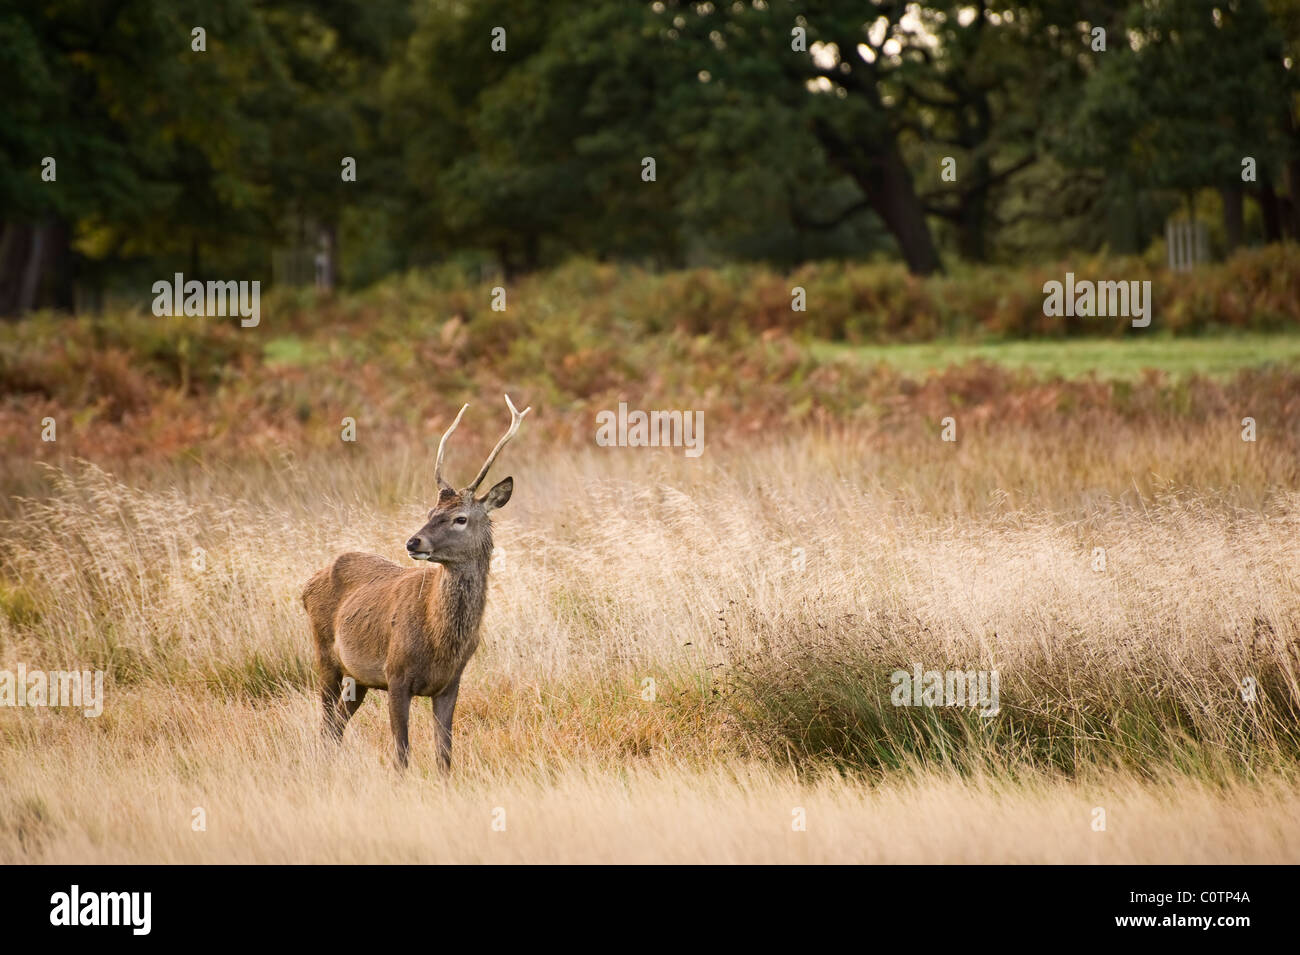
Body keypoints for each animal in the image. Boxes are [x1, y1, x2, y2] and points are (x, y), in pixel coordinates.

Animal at [302, 395, 529, 771]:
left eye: (460, 518)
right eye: (429, 513)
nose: (413, 541)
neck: (439, 640)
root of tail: (307, 585)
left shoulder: (451, 682)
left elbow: (444, 754)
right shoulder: (395, 674)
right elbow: (402, 754)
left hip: (357, 677)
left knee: (336, 725)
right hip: (325, 654)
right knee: (324, 721)